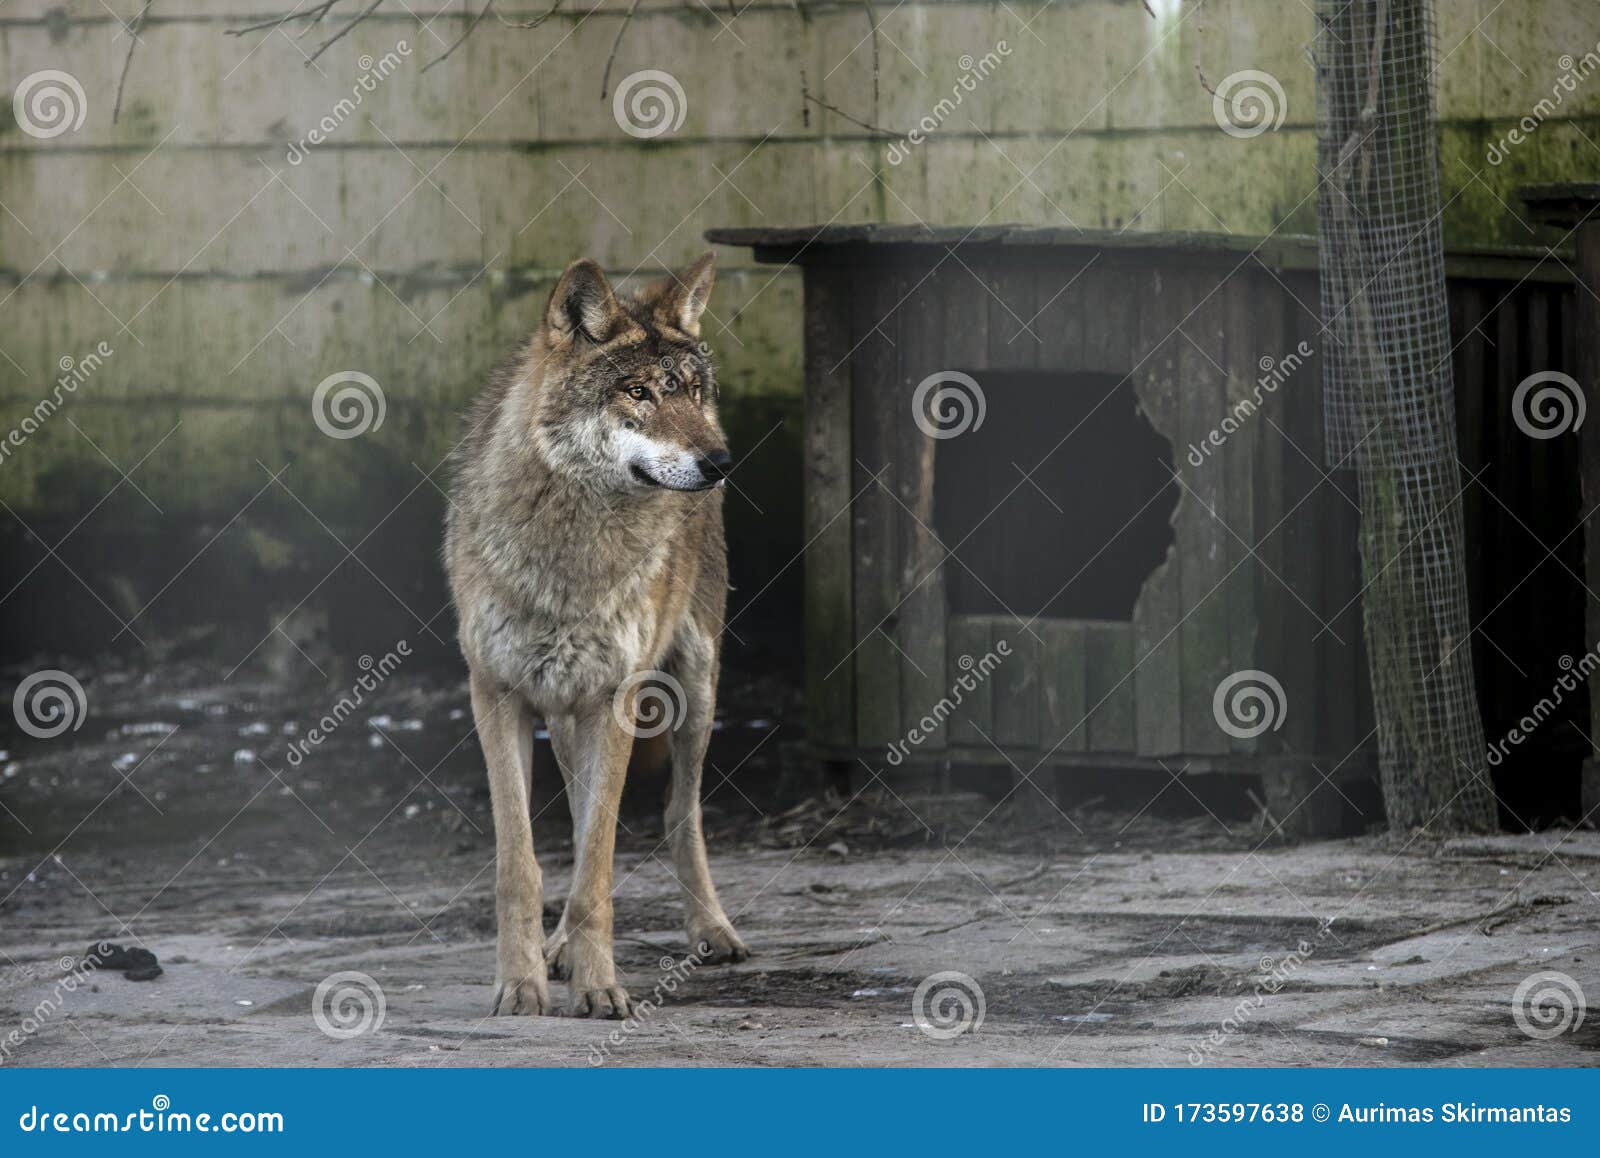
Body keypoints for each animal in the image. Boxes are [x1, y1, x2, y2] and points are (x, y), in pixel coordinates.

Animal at [444, 253, 748, 1018]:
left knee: (678, 813)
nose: (721, 461)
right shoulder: (496, 694)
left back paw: (711, 930)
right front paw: (520, 984)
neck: (572, 552)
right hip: (565, 719)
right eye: (637, 393)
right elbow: (521, 864)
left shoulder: (611, 697)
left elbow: (598, 865)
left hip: (693, 689)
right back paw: (555, 952)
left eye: (688, 391)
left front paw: (600, 988)